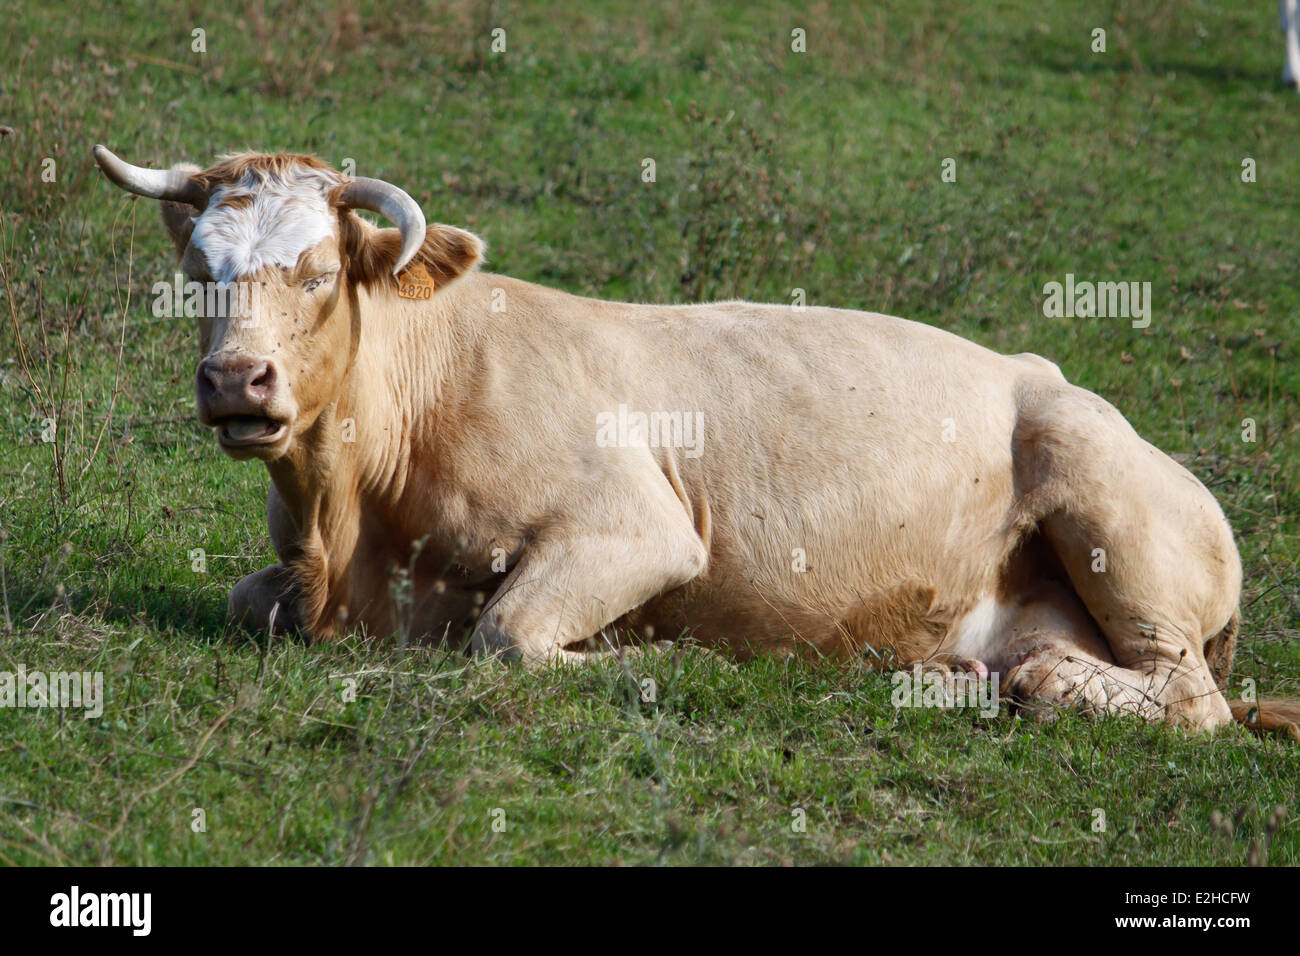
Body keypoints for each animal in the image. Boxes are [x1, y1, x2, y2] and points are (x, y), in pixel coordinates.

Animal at [93, 145, 1299, 737]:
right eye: (199, 268)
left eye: (316, 270)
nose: (234, 380)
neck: (352, 524)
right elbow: (249, 600)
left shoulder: (638, 530)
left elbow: (508, 635)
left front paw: (660, 656)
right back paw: (960, 678)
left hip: (1105, 499)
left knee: (1188, 703)